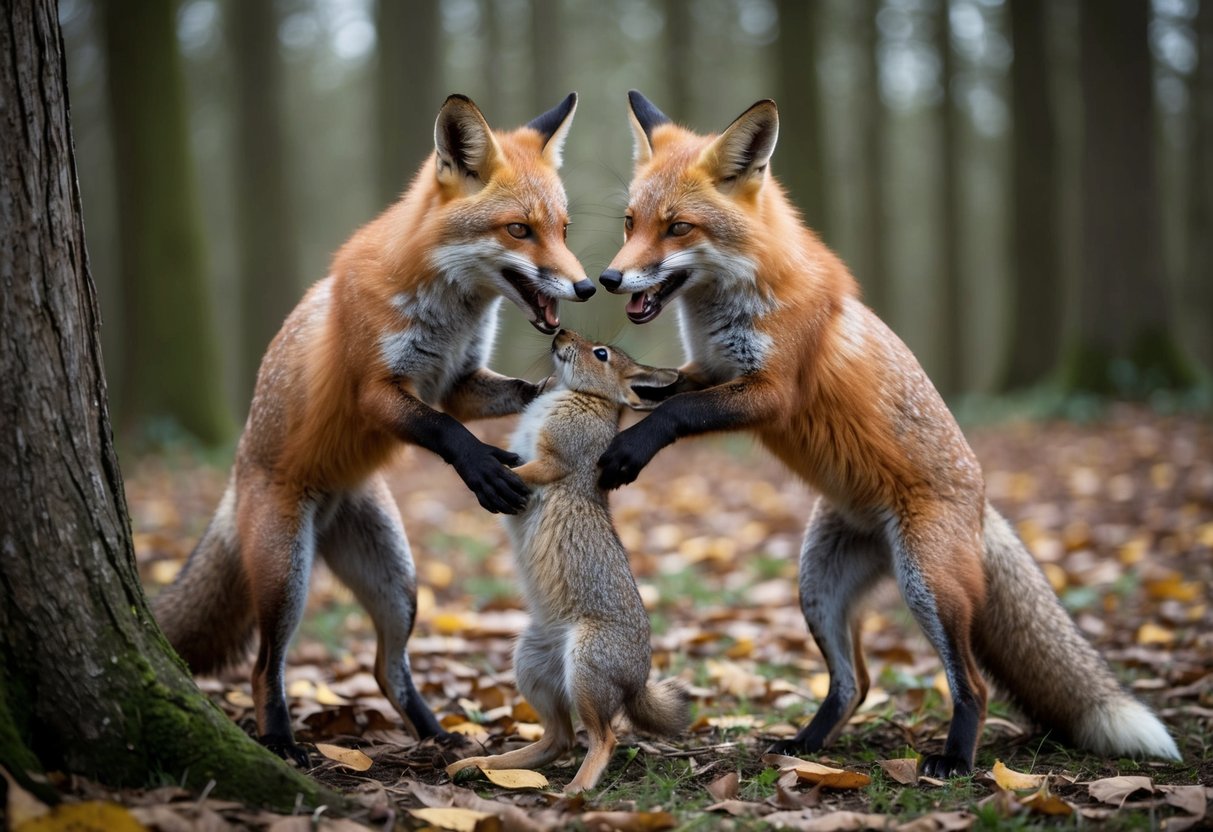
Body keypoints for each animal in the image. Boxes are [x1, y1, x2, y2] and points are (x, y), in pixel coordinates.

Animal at [153, 93, 596, 765]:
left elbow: (513, 396)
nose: (588, 286)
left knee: (387, 670)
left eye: (564, 230)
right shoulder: (376, 392)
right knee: (264, 668)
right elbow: (444, 431)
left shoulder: (460, 380)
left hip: (397, 581)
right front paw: (482, 469)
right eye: (519, 230)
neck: (450, 312)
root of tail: (236, 477)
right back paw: (281, 742)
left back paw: (438, 737)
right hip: (287, 578)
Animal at [447, 329, 690, 793]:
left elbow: (529, 471)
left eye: (602, 354)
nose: (559, 333)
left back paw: (576, 788)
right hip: (533, 664)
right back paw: (480, 765)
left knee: (602, 736)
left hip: (586, 666)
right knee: (557, 739)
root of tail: (634, 683)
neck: (580, 395)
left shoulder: (557, 457)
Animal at [593, 91, 1181, 776]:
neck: (727, 304)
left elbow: (676, 415)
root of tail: (983, 505)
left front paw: (628, 450)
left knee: (971, 686)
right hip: (817, 585)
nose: (607, 279)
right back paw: (805, 746)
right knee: (856, 683)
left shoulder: (770, 392)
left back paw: (953, 761)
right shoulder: (710, 371)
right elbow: (664, 392)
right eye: (630, 223)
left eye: (678, 228)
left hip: (926, 587)